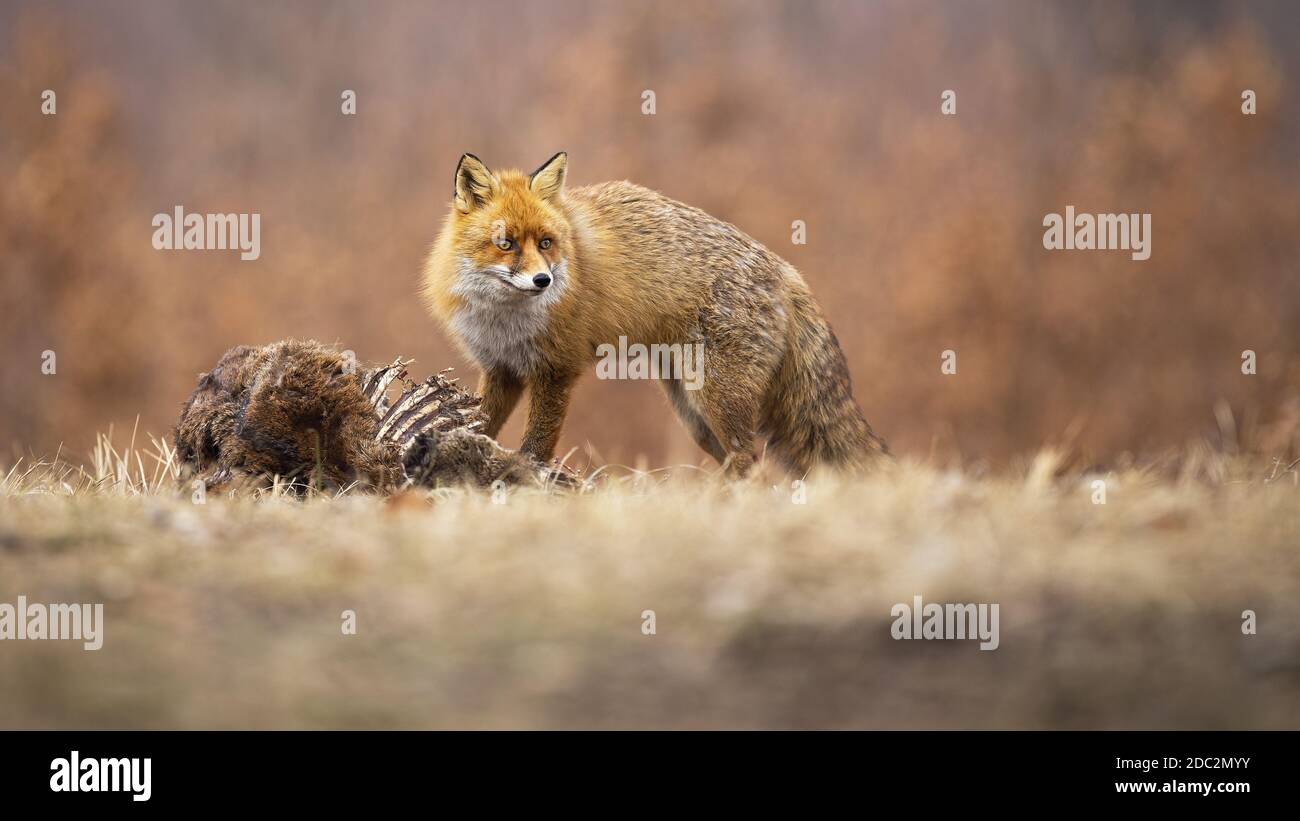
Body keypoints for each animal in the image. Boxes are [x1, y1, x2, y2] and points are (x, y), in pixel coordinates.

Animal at [421, 151, 888, 477]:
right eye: (506, 244)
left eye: (547, 243)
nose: (543, 281)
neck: (504, 318)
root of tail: (788, 271)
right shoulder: (501, 368)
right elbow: (482, 423)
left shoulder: (557, 368)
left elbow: (536, 445)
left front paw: (524, 480)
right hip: (694, 413)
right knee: (742, 464)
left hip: (715, 399)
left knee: (749, 461)